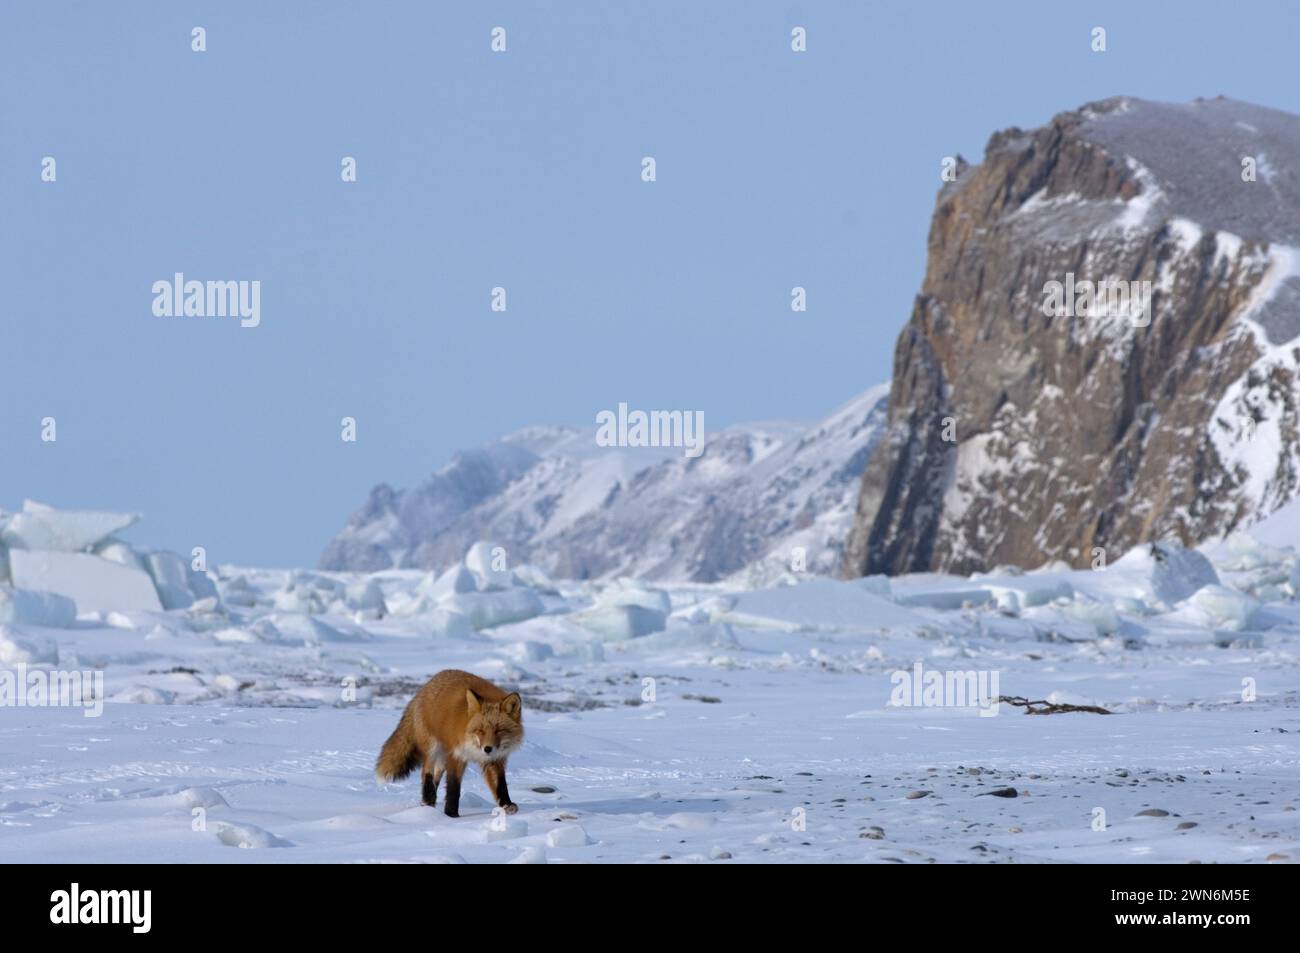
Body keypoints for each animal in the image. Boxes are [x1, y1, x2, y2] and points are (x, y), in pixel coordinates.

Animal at [375, 669, 524, 817]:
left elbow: (500, 784)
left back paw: (428, 803)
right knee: (426, 771)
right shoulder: (456, 754)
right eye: (480, 730)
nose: (487, 748)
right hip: (433, 747)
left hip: (442, 758)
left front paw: (506, 805)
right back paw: (427, 800)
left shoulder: (495, 759)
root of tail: (425, 688)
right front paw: (451, 814)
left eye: (499, 730)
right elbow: (453, 786)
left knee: (435, 777)